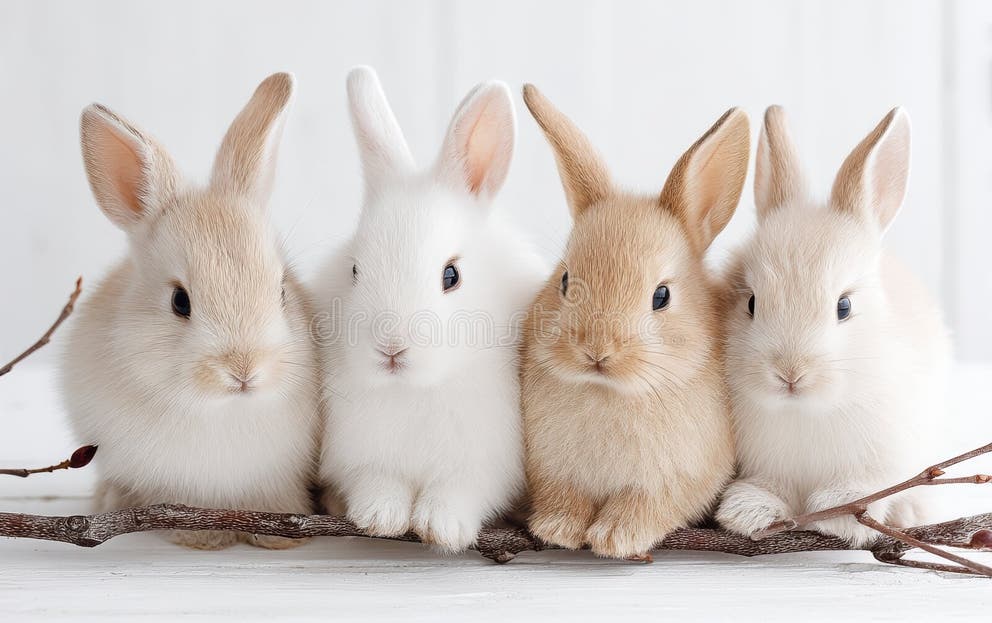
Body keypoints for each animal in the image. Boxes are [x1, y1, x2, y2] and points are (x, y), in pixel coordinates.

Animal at [61, 72, 322, 550]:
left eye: (281, 290)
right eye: (179, 302)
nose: (244, 370)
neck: (222, 409)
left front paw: (280, 539)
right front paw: (201, 540)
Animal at [314, 67, 546, 552]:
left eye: (451, 275)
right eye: (354, 270)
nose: (390, 349)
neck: (417, 388)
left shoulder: (483, 464)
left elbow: (459, 491)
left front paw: (442, 527)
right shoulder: (360, 453)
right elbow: (377, 481)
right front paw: (379, 517)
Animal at [519, 84, 745, 559]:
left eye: (662, 296)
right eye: (564, 280)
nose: (595, 351)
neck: (608, 391)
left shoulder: (672, 480)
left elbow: (645, 504)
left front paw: (615, 537)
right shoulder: (553, 473)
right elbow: (565, 497)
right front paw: (558, 530)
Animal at [714, 106, 951, 547]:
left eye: (844, 306)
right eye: (752, 302)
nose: (789, 374)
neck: (806, 410)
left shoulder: (879, 464)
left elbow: (862, 492)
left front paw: (837, 513)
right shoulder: (770, 468)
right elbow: (771, 489)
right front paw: (748, 511)